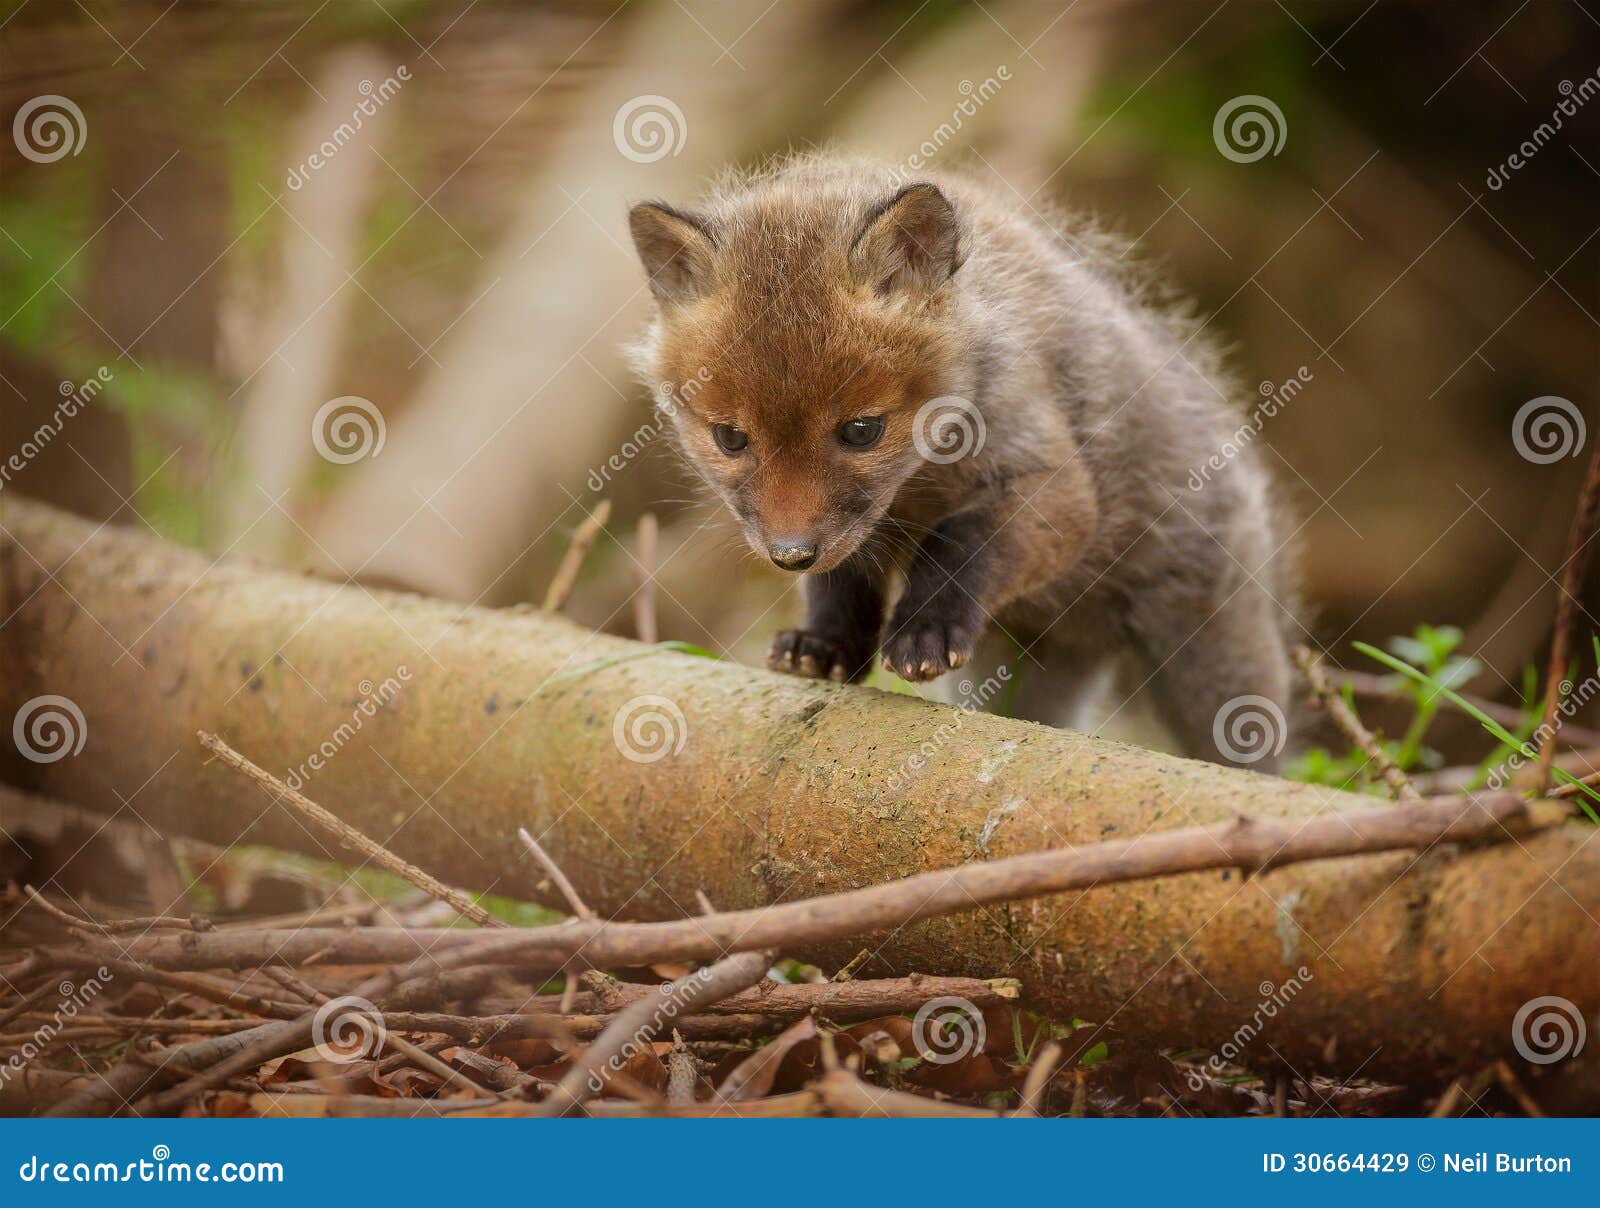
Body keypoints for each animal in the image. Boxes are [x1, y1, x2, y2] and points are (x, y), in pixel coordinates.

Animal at [625, 154, 1296, 770]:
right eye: (730, 439)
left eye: (862, 431)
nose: (790, 554)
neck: (922, 482)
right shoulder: (859, 529)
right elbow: (844, 573)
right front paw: (826, 643)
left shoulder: (1055, 486)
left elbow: (961, 539)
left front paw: (926, 625)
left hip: (1213, 666)